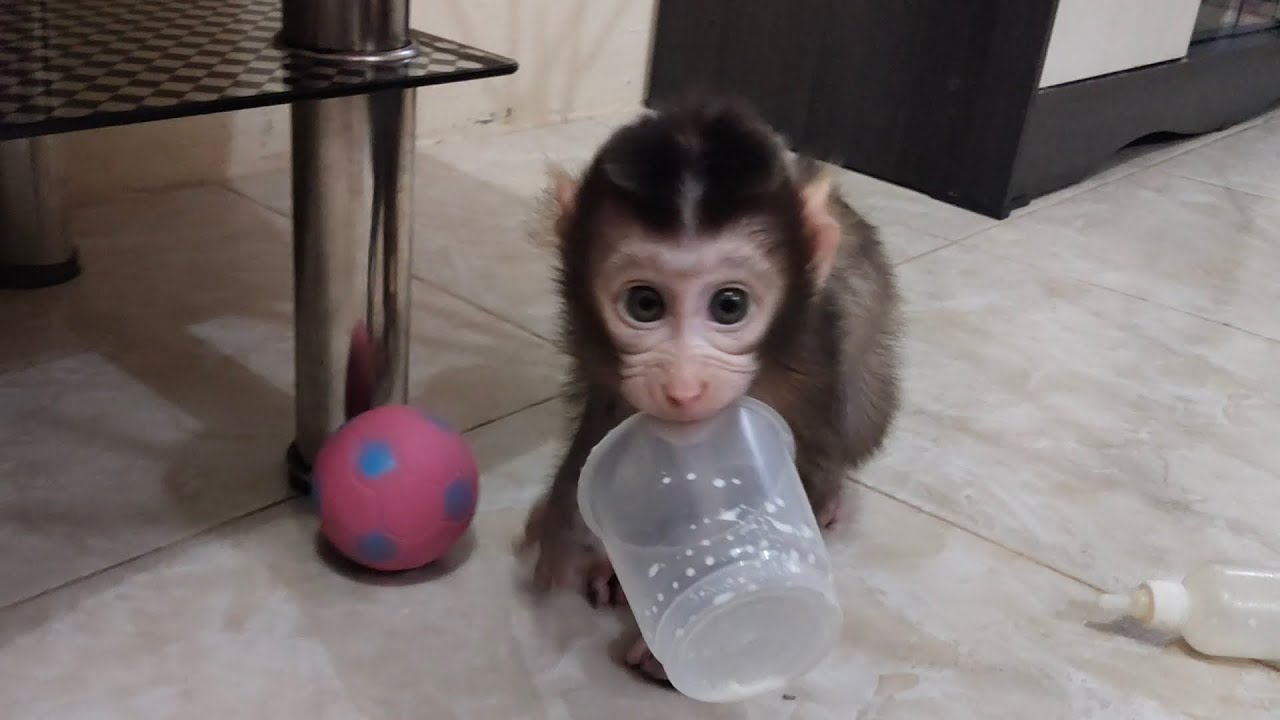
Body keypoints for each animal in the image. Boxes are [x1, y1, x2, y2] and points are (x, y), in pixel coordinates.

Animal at [517, 98, 901, 684]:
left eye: (729, 306)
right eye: (645, 304)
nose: (682, 385)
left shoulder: (802, 365)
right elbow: (604, 426)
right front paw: (575, 540)